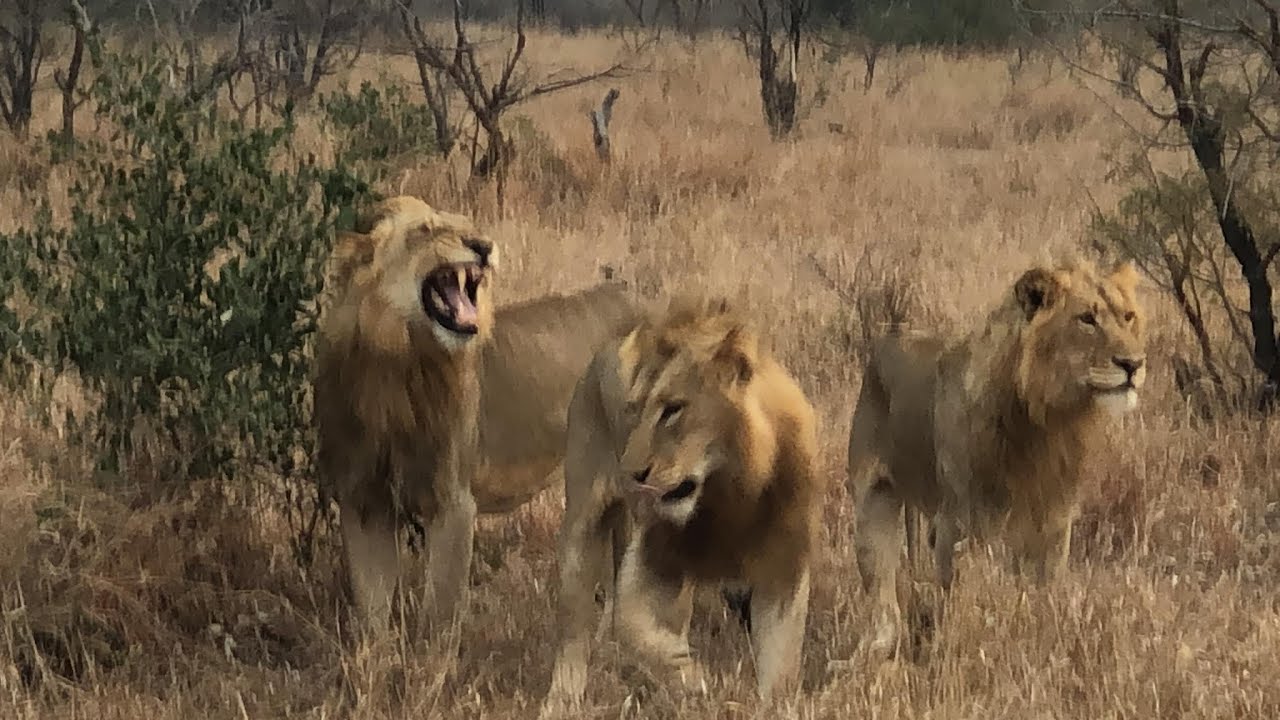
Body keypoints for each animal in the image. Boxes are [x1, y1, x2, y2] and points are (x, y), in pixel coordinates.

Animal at [313, 195, 638, 641]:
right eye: (426, 230)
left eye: (468, 227)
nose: (483, 246)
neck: (394, 363)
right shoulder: (363, 500)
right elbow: (370, 609)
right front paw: (373, 658)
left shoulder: (453, 503)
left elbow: (438, 614)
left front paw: (427, 663)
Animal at [540, 297, 822, 715]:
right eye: (636, 409)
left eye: (673, 409)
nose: (631, 473)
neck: (733, 492)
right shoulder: (654, 560)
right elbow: (635, 630)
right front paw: (697, 680)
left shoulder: (783, 571)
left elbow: (781, 666)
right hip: (582, 524)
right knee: (573, 627)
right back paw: (561, 701)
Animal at [846, 260, 1147, 656]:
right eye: (1086, 319)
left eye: (1128, 316)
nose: (1134, 364)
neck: (1048, 420)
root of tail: (886, 339)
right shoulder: (956, 523)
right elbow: (952, 601)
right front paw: (950, 652)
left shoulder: (1055, 521)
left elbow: (1046, 596)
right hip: (873, 505)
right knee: (883, 598)